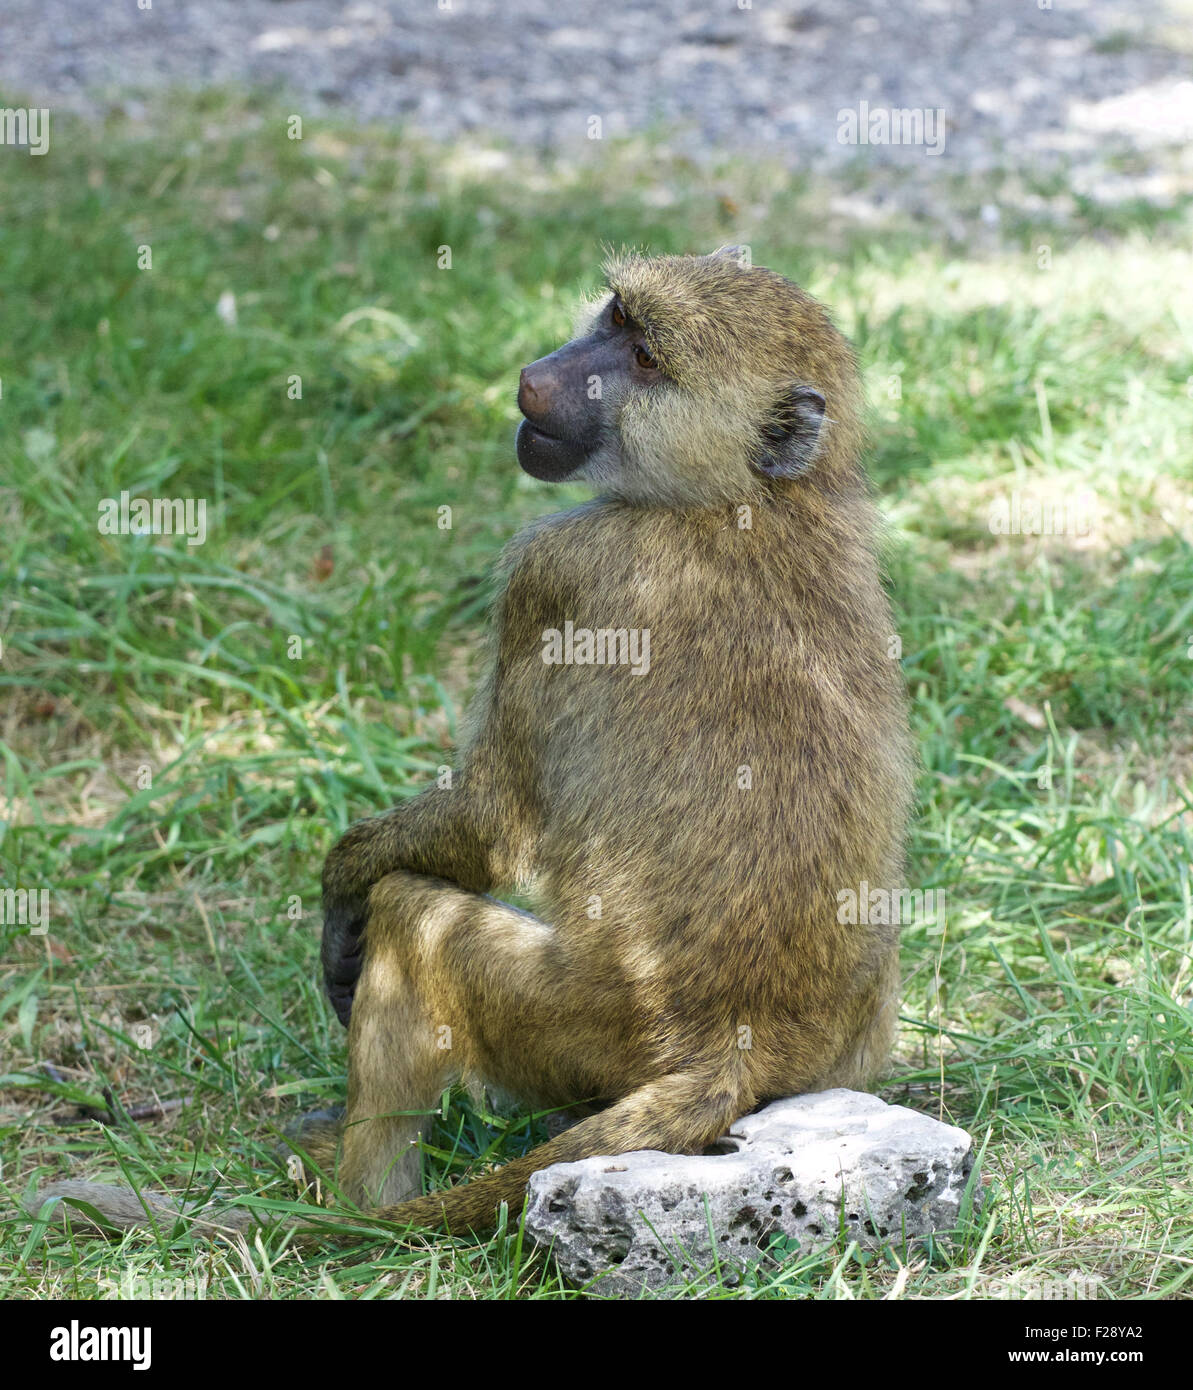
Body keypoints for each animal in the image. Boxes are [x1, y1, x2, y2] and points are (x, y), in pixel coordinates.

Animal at [29, 247, 915, 1243]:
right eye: (616, 319)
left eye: (648, 359)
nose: (536, 377)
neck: (750, 497)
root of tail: (742, 1048)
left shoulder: (552, 571)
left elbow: (490, 824)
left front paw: (341, 894)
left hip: (579, 1020)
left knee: (415, 919)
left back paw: (356, 1199)